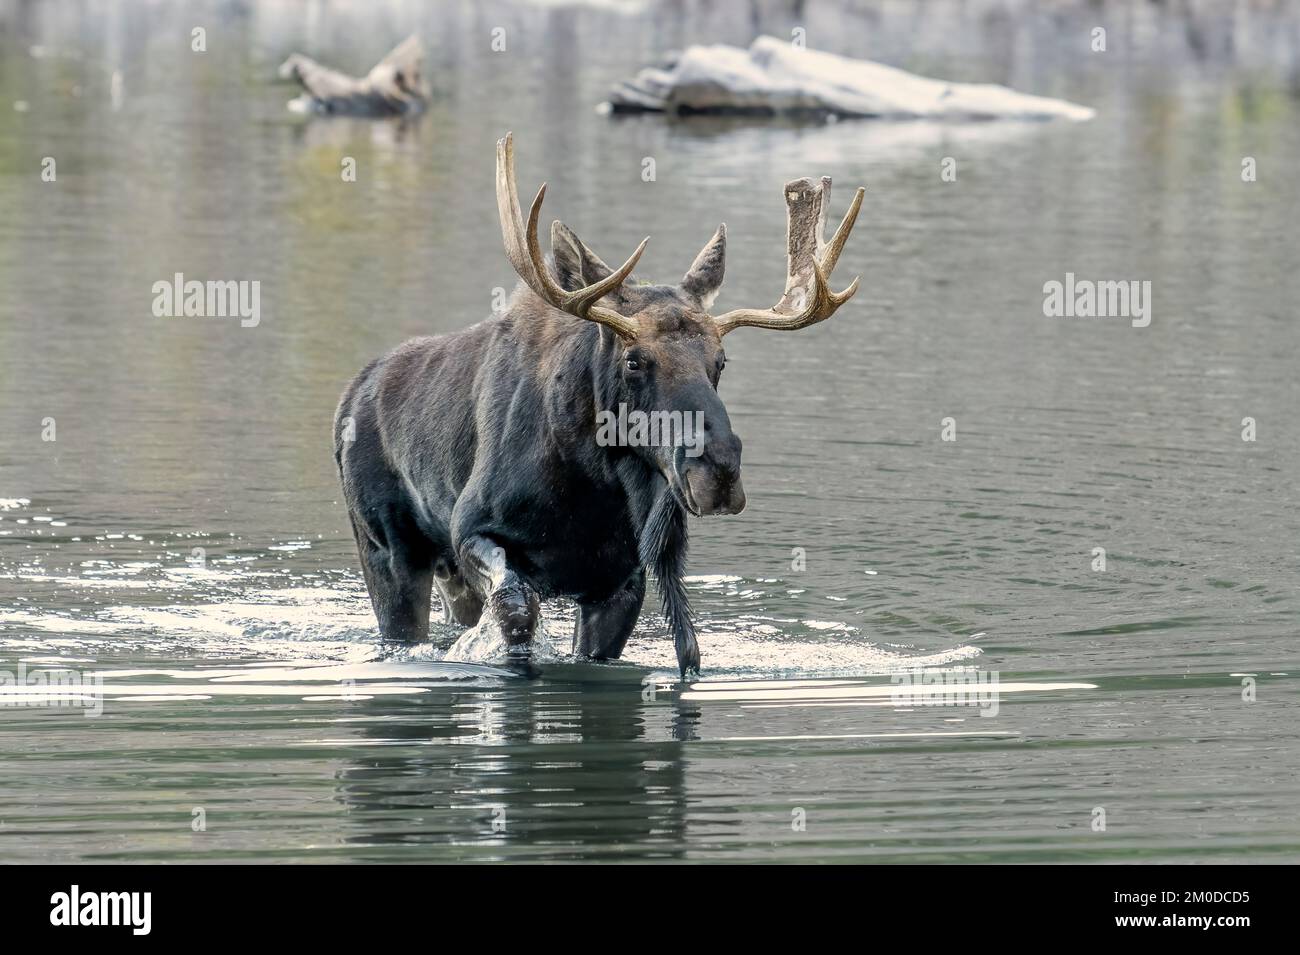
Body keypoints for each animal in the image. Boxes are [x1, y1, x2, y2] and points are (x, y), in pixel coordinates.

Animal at [334, 133, 864, 677]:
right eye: (633, 360)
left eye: (720, 361)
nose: (717, 471)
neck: (587, 482)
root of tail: (350, 394)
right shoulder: (471, 531)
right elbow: (516, 611)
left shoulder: (620, 581)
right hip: (386, 551)